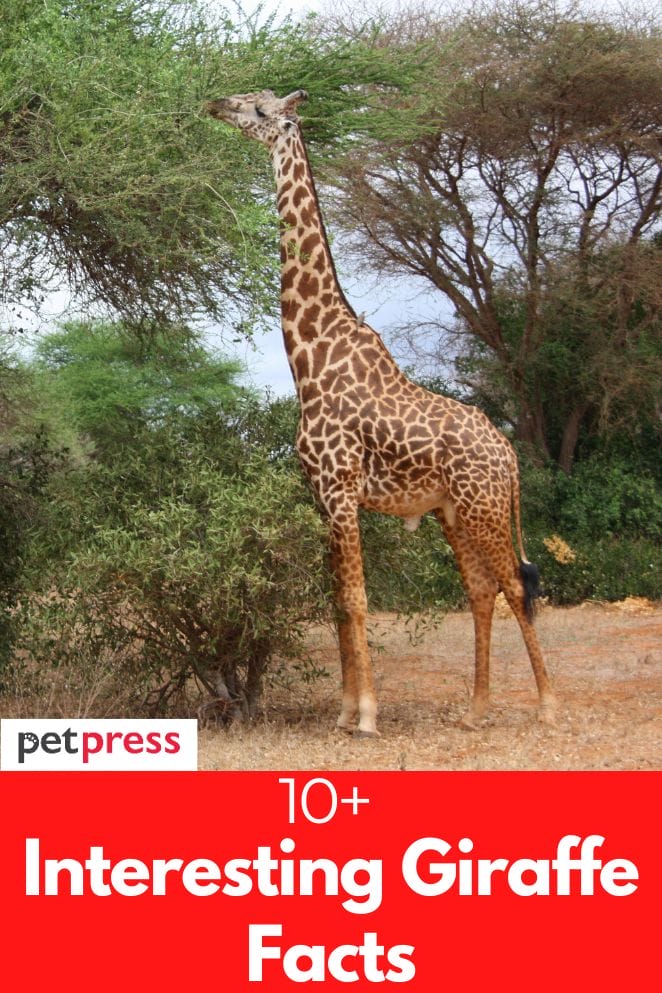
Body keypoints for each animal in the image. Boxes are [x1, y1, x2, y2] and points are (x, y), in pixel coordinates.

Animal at [206, 88, 556, 736]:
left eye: (261, 111)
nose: (217, 104)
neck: (309, 356)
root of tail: (510, 454)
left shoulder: (342, 489)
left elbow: (357, 599)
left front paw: (367, 716)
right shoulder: (321, 494)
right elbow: (337, 603)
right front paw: (346, 711)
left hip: (486, 507)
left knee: (518, 587)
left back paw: (547, 705)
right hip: (454, 512)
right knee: (481, 591)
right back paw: (475, 710)